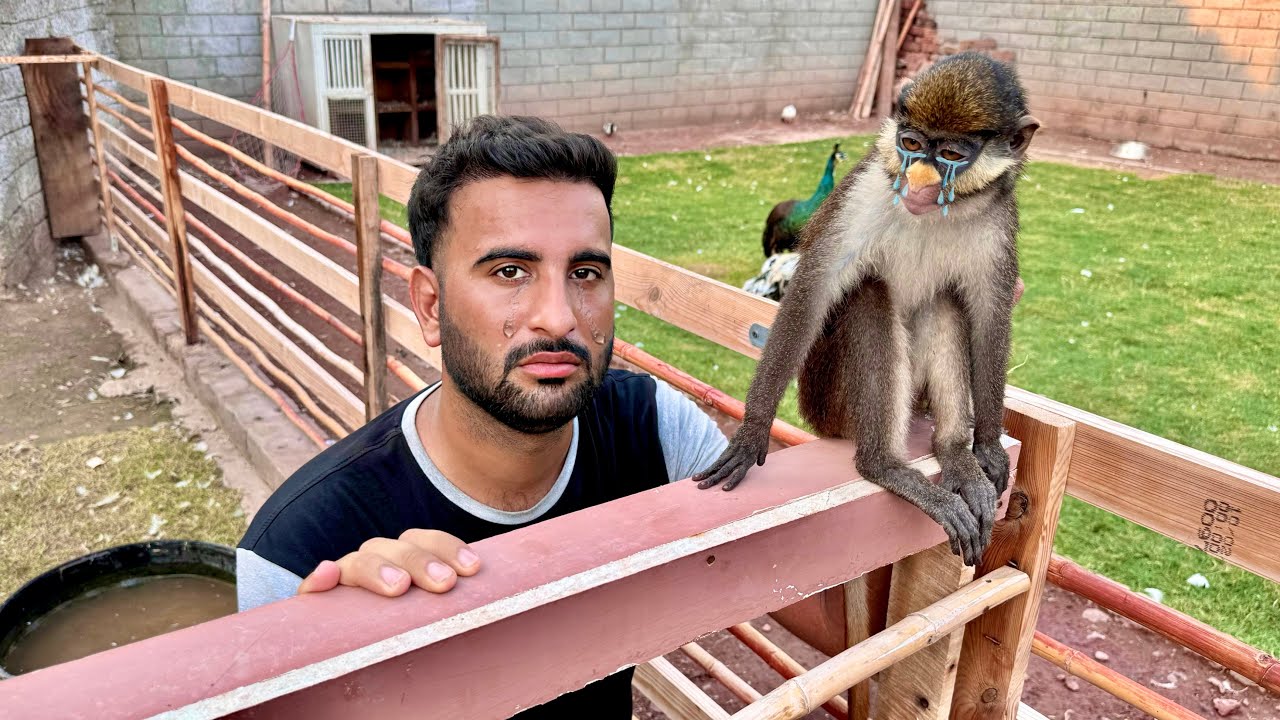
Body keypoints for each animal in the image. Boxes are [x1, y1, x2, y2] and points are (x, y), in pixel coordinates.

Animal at [692, 52, 1039, 567]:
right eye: (911, 143)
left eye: (951, 155)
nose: (916, 178)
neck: (938, 214)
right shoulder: (862, 190)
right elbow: (812, 294)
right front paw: (753, 432)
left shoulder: (999, 221)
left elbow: (988, 321)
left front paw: (989, 444)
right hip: (829, 403)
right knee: (868, 293)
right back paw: (883, 465)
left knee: (945, 301)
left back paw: (955, 453)